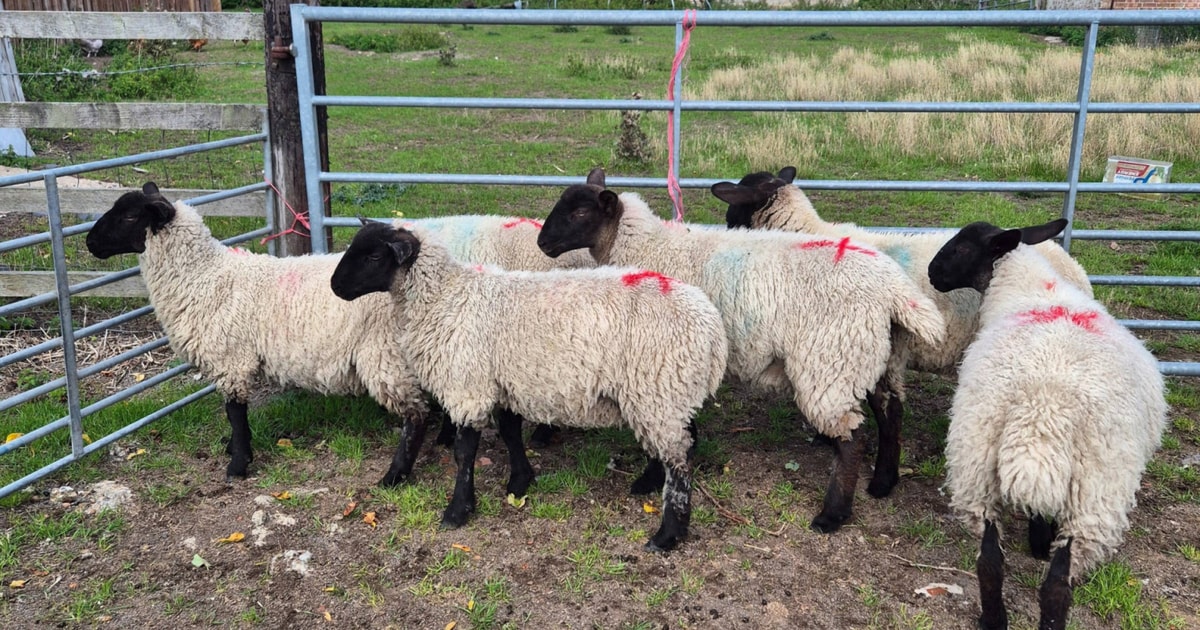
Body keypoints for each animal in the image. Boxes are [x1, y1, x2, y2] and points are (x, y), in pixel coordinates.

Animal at [330, 220, 728, 552]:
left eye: (374, 255)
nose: (335, 286)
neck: (444, 298)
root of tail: (712, 327)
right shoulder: (505, 381)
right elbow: (509, 433)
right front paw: (520, 481)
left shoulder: (468, 385)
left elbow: (464, 452)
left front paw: (458, 510)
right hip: (667, 390)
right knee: (685, 440)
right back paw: (648, 484)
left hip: (658, 388)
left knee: (679, 460)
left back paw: (668, 535)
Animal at [538, 168, 947, 533]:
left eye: (579, 213)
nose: (543, 243)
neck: (649, 246)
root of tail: (894, 289)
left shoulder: (661, 357)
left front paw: (651, 479)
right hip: (877, 356)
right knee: (890, 412)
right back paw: (882, 483)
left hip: (831, 360)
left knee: (852, 438)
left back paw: (832, 515)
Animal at [927, 219, 1168, 630]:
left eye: (960, 247)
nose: (931, 273)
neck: (1029, 286)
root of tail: (1043, 409)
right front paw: (1040, 543)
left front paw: (1038, 542)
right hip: (1095, 492)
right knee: (1056, 585)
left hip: (979, 464)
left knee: (989, 562)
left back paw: (994, 619)